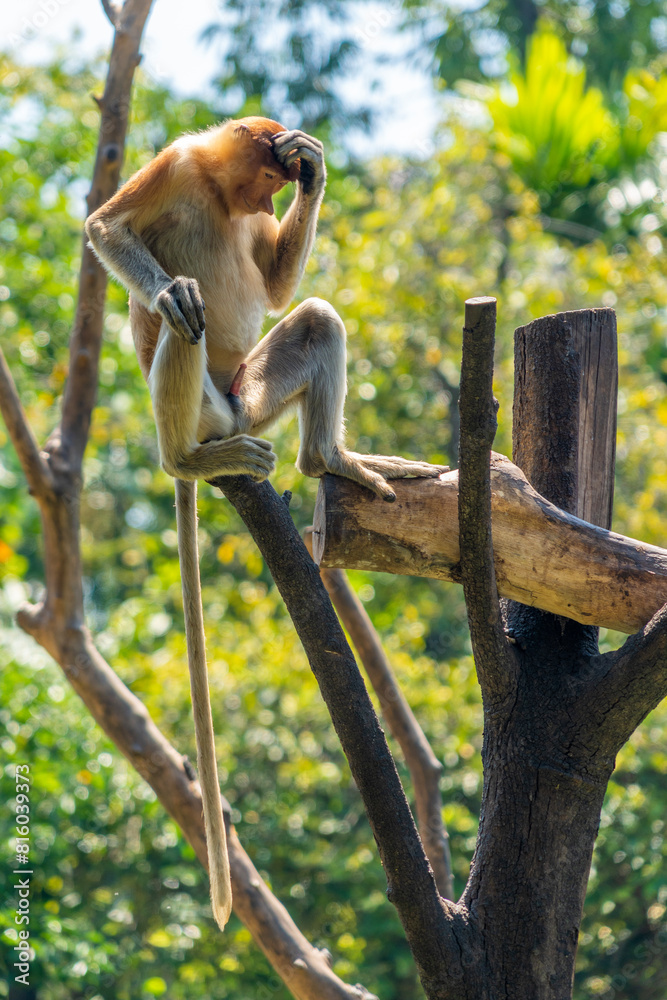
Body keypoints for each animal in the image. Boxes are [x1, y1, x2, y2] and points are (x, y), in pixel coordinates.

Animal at [85, 116, 446, 930]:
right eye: (262, 179)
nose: (272, 199)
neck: (219, 191)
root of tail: (219, 420)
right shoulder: (175, 163)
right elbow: (106, 228)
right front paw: (166, 279)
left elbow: (278, 291)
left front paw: (317, 167)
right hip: (210, 407)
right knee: (181, 319)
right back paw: (186, 458)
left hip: (250, 396)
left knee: (312, 318)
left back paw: (329, 459)